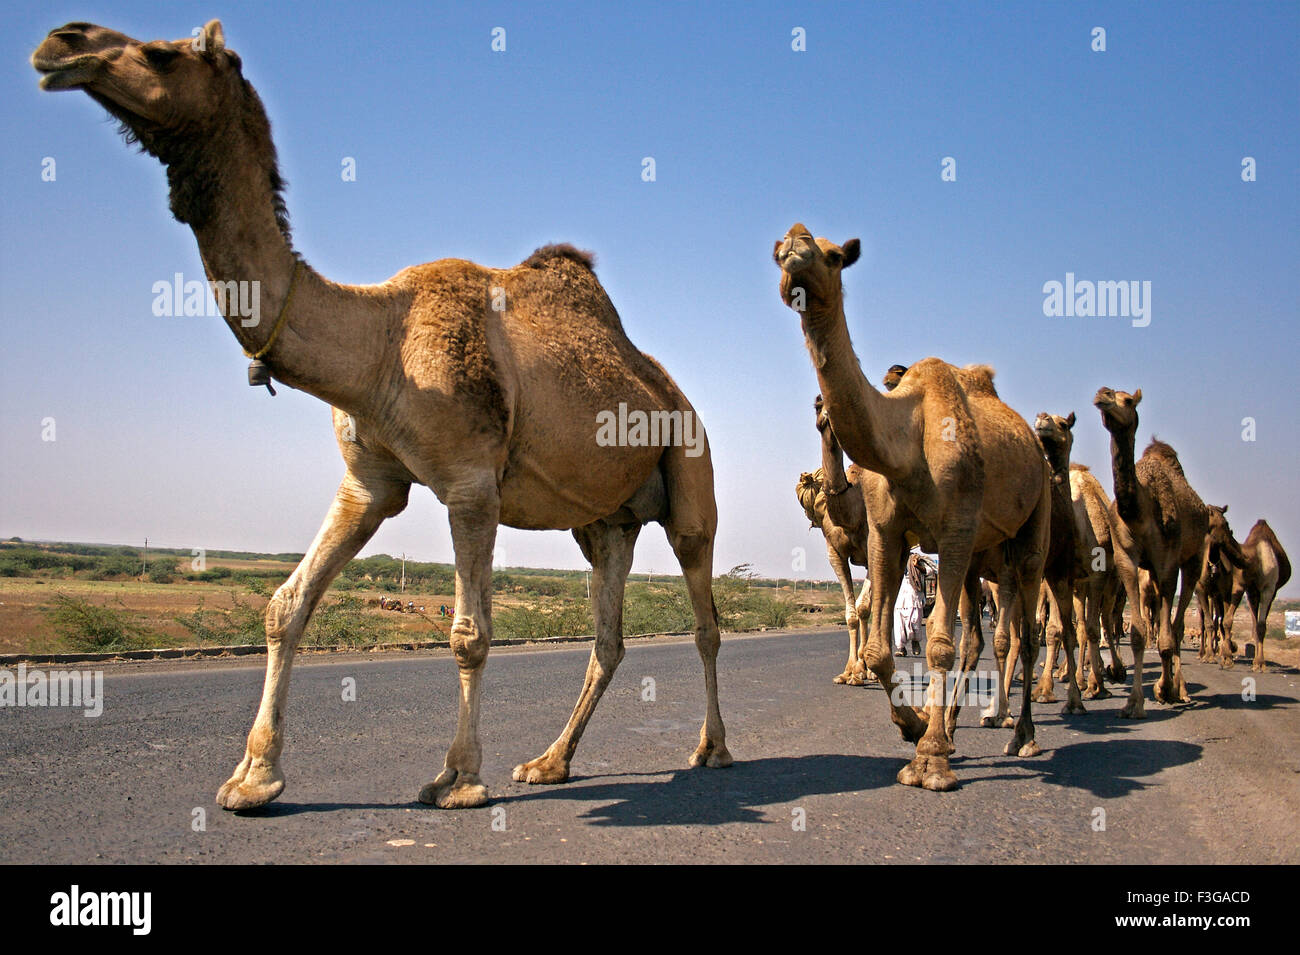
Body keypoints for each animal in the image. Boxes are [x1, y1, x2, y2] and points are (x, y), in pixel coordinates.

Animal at [33, 20, 731, 810]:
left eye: (161, 54)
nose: (62, 42)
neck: (381, 343)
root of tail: (673, 392)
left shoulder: (470, 483)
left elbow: (470, 633)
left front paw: (458, 777)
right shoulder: (369, 482)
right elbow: (286, 605)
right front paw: (253, 777)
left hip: (690, 463)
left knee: (704, 614)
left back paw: (711, 748)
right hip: (604, 521)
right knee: (608, 635)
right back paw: (549, 762)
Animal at [775, 224, 1051, 791]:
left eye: (834, 257)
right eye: (778, 251)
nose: (794, 242)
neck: (906, 439)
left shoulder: (956, 528)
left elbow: (938, 641)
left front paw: (930, 763)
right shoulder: (886, 531)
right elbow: (878, 643)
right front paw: (916, 725)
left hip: (1033, 525)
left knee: (1025, 632)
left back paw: (1021, 735)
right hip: (985, 555)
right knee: (982, 635)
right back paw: (956, 724)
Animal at [1094, 388, 1208, 718]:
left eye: (1127, 400)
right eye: (1107, 393)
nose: (1102, 395)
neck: (1140, 510)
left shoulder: (1167, 561)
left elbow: (1168, 637)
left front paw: (1164, 690)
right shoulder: (1127, 559)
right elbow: (1138, 633)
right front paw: (1133, 703)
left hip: (1193, 559)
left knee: (1178, 624)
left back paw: (1179, 689)